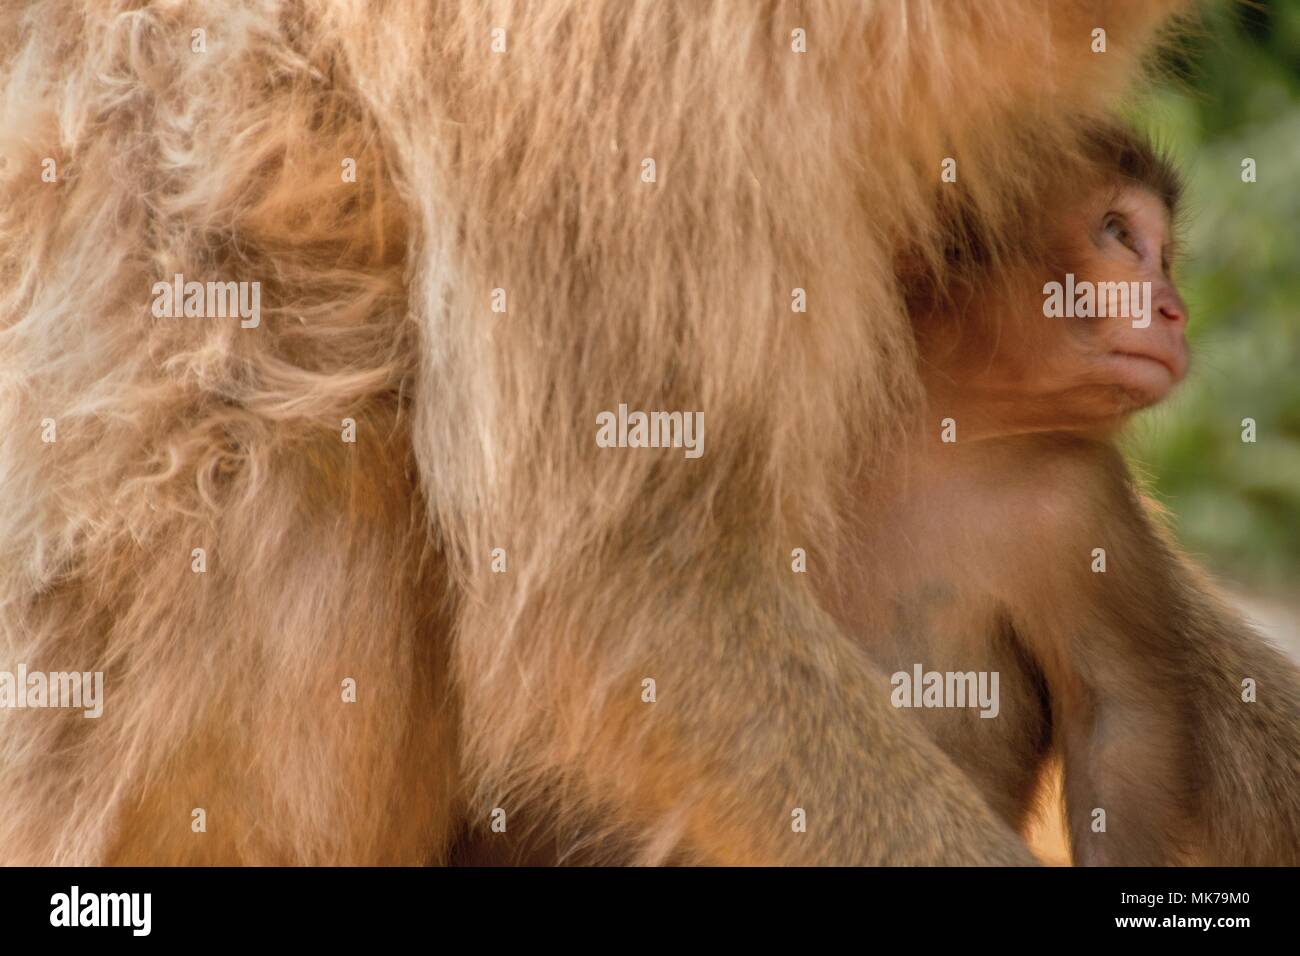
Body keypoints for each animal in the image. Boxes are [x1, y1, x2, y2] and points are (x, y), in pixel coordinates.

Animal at [819, 124, 1300, 865]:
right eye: (1119, 234)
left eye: (1165, 256)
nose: (1175, 311)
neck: (940, 437)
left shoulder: (1078, 500)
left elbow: (1120, 719)